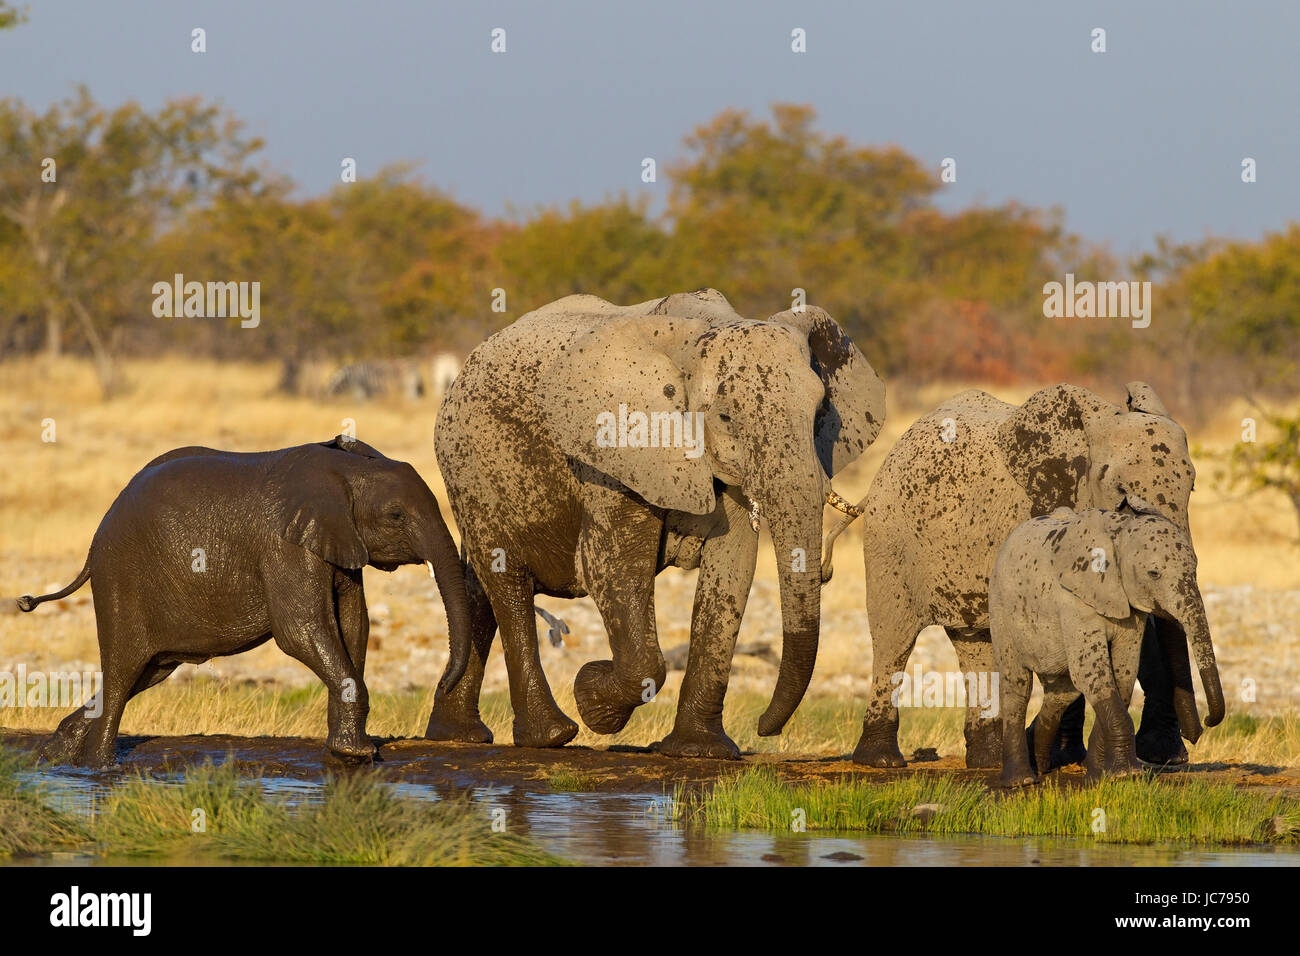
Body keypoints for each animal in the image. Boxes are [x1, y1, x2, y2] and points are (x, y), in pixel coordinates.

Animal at [15, 435, 470, 768]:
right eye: (396, 516)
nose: (443, 682)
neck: (348, 471)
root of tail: (96, 537)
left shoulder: (337, 541)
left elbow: (354, 626)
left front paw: (348, 751)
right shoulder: (284, 546)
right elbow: (303, 631)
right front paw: (357, 754)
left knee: (148, 671)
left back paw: (56, 755)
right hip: (120, 577)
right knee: (123, 671)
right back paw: (100, 769)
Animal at [424, 288, 884, 757]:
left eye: (820, 411)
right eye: (725, 418)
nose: (762, 728)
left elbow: (733, 568)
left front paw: (699, 750)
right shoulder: (611, 451)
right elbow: (612, 569)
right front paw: (592, 699)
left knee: (478, 589)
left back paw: (458, 734)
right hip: (469, 467)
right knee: (506, 581)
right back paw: (550, 736)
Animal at [990, 507, 1224, 787]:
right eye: (1154, 573)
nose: (1206, 722)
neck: (1119, 533)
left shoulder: (1131, 610)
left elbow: (1123, 674)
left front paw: (1100, 774)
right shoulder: (1074, 601)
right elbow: (1093, 675)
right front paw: (1127, 774)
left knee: (1063, 692)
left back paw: (1042, 762)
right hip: (1001, 610)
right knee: (1017, 685)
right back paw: (1021, 780)